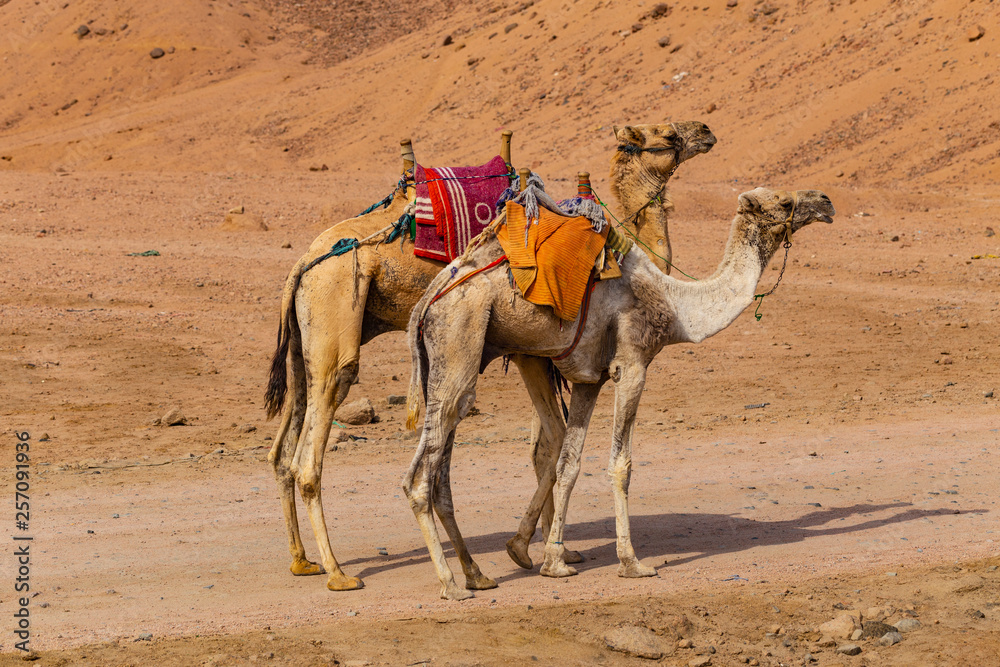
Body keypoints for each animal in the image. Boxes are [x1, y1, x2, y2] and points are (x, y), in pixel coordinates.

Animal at [263, 122, 716, 591]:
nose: (705, 131)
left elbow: (548, 444)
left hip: (306, 339)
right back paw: (338, 572)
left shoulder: (534, 354)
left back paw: (303, 560)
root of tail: (303, 263)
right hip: (335, 309)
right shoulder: (537, 354)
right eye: (666, 134)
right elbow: (549, 444)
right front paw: (534, 548)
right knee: (312, 449)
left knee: (283, 447)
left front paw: (548, 548)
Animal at [404, 187, 835, 600]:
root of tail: (426, 302)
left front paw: (551, 561)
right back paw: (451, 585)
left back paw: (477, 575)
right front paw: (631, 562)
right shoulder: (632, 365)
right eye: (784, 201)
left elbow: (569, 463)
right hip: (459, 335)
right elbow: (621, 465)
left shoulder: (587, 380)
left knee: (445, 471)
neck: (676, 306)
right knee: (421, 475)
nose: (826, 202)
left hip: (462, 355)